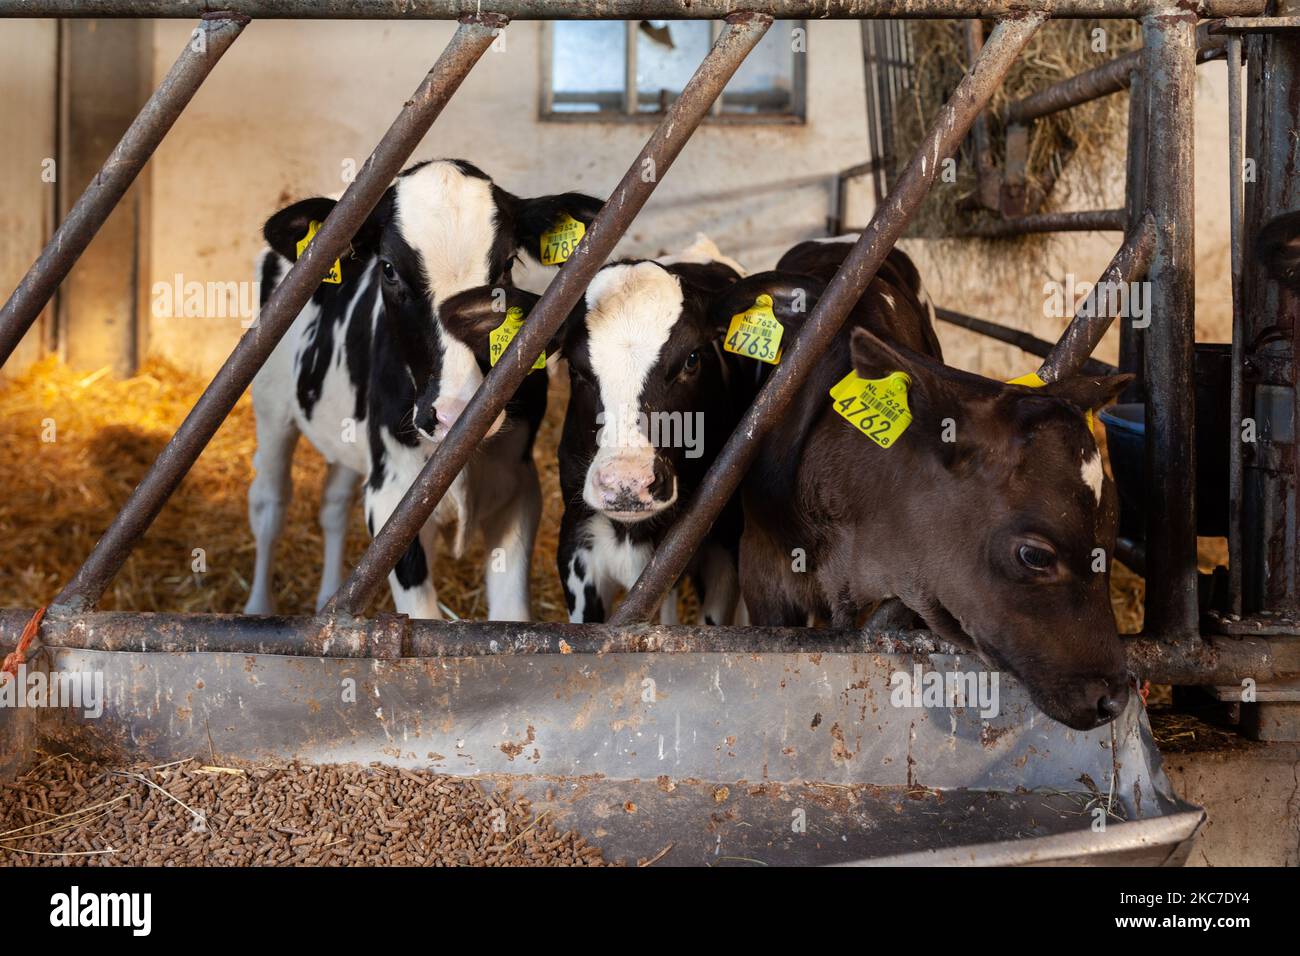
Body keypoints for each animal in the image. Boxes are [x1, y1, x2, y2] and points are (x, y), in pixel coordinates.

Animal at [244, 159, 603, 620]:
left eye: (506, 265)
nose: (456, 412)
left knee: (334, 503)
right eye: (389, 269)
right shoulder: (391, 497)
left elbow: (511, 616)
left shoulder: (518, 487)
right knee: (269, 503)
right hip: (271, 407)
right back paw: (257, 609)